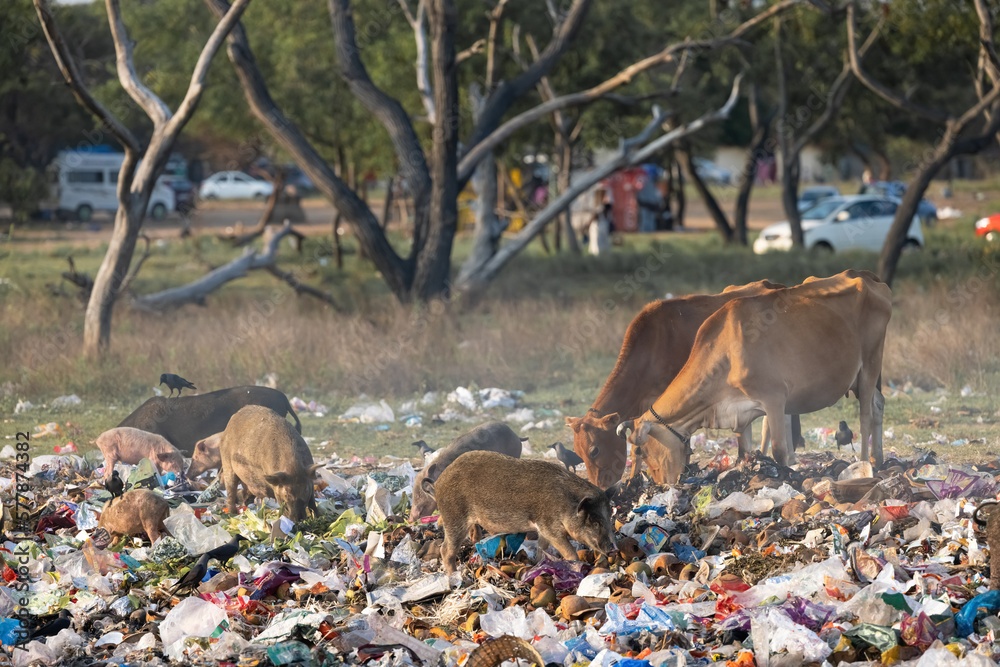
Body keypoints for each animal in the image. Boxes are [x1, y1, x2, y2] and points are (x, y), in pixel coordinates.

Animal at [426, 450, 618, 574]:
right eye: (594, 521)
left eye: (609, 517)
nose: (614, 549)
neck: (566, 504)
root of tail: (437, 484)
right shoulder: (549, 525)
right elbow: (569, 551)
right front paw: (576, 565)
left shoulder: (543, 529)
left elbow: (542, 546)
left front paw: (537, 563)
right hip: (454, 517)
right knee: (446, 550)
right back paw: (455, 579)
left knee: (473, 537)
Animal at [565, 280, 797, 489]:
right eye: (578, 452)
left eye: (595, 450)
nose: (600, 486)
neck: (652, 346)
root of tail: (774, 285)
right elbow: (637, 446)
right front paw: (632, 480)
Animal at [615, 270, 891, 482]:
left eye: (643, 452)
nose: (662, 485)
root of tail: (862, 275)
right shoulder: (740, 412)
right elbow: (744, 452)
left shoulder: (774, 398)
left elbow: (779, 451)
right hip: (859, 378)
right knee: (878, 404)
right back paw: (878, 459)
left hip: (870, 362)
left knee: (865, 416)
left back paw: (864, 465)